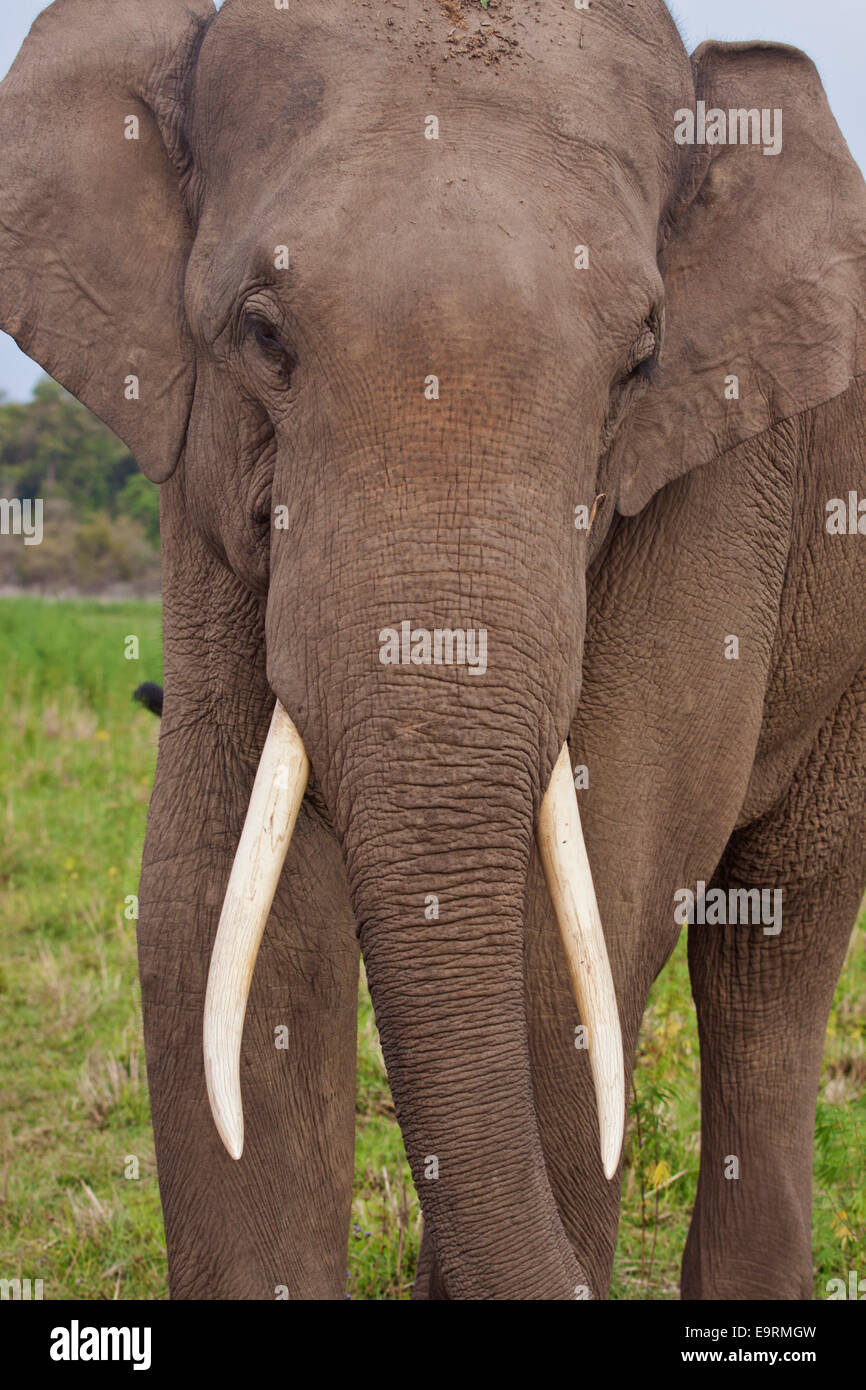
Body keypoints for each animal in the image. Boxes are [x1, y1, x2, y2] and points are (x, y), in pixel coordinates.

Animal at [1, 0, 864, 1301]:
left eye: (638, 360)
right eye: (261, 334)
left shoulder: (716, 474)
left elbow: (590, 899)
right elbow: (222, 905)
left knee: (776, 937)